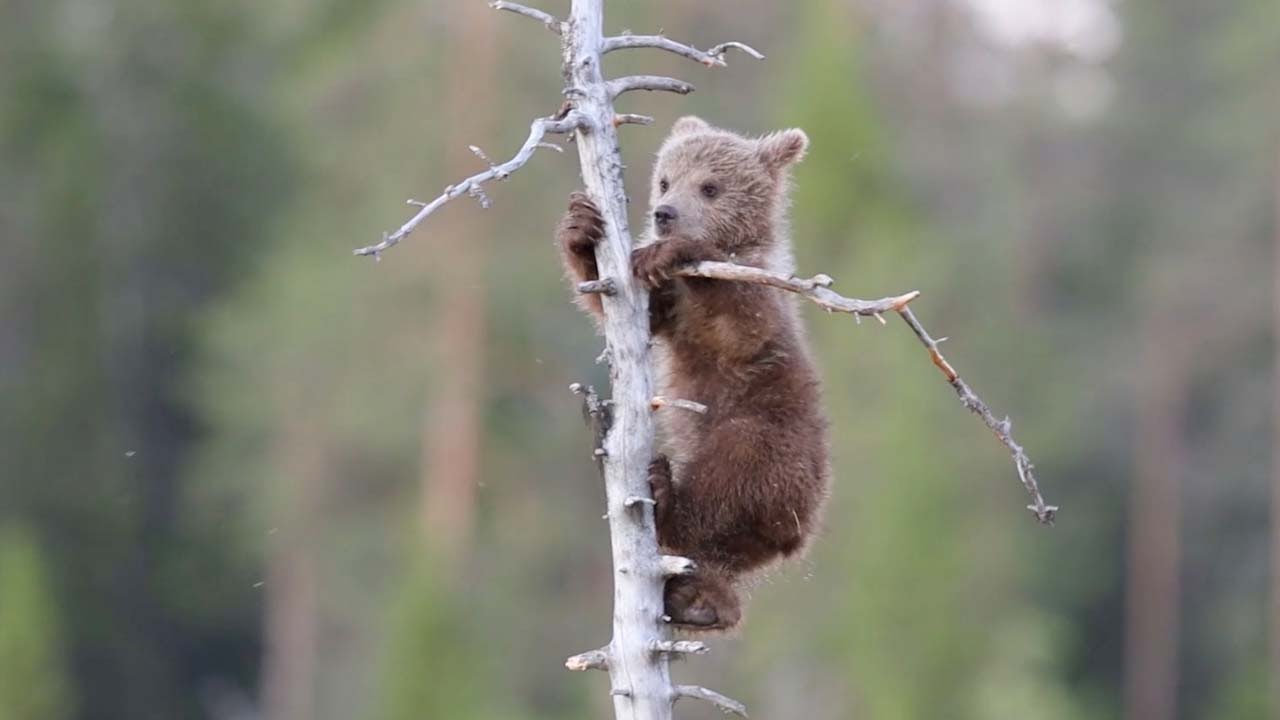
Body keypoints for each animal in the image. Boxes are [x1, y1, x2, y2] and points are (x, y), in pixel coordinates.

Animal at [556, 116, 830, 631]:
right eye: (666, 179)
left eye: (710, 186)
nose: (665, 213)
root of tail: (797, 536)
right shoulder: (669, 309)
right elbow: (622, 305)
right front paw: (581, 226)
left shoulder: (756, 299)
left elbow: (742, 324)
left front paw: (676, 250)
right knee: (722, 548)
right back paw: (698, 602)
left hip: (778, 449)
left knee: (733, 470)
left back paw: (666, 499)